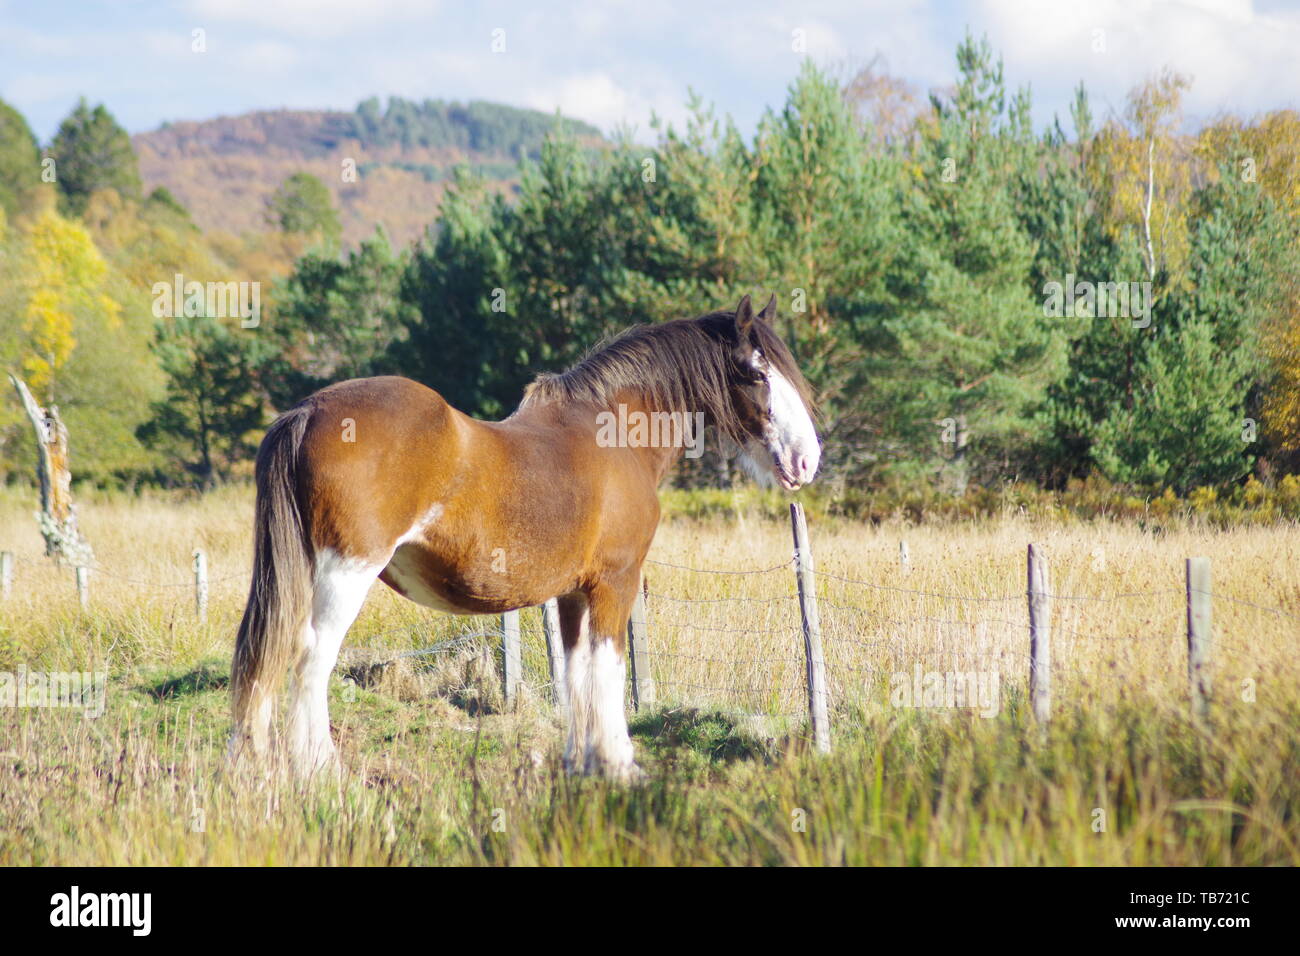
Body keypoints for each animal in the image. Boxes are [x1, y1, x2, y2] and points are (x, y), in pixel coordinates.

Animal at [230, 294, 821, 779]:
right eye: (756, 372)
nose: (806, 459)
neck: (613, 434)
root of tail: (308, 410)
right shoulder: (615, 583)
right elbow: (608, 670)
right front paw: (620, 764)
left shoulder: (572, 593)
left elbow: (577, 672)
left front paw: (582, 763)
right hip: (346, 574)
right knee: (311, 659)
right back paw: (319, 769)